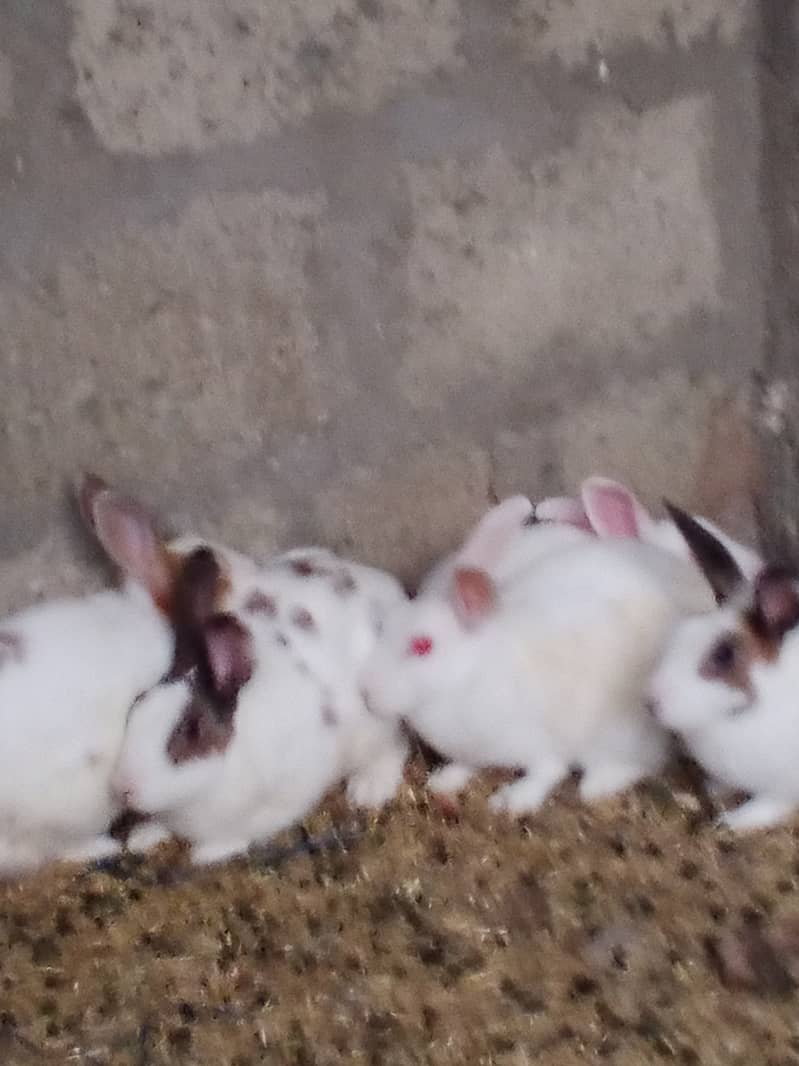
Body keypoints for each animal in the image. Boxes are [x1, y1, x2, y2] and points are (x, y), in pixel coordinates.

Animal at [111, 545, 408, 867]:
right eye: (137, 703)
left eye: (192, 731)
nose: (124, 788)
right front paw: (143, 836)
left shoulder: (289, 791)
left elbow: (248, 829)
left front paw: (208, 852)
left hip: (378, 725)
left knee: (394, 747)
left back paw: (369, 789)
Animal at [360, 503, 716, 814]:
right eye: (385, 627)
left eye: (422, 646)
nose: (368, 695)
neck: (468, 676)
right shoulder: (471, 750)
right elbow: (465, 765)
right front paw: (444, 781)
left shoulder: (538, 743)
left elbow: (548, 771)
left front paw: (512, 800)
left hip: (618, 733)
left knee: (637, 763)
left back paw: (597, 784)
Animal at [648, 502, 799, 832]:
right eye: (682, 629)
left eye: (723, 655)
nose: (652, 702)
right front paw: (713, 789)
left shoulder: (782, 789)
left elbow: (766, 806)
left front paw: (730, 822)